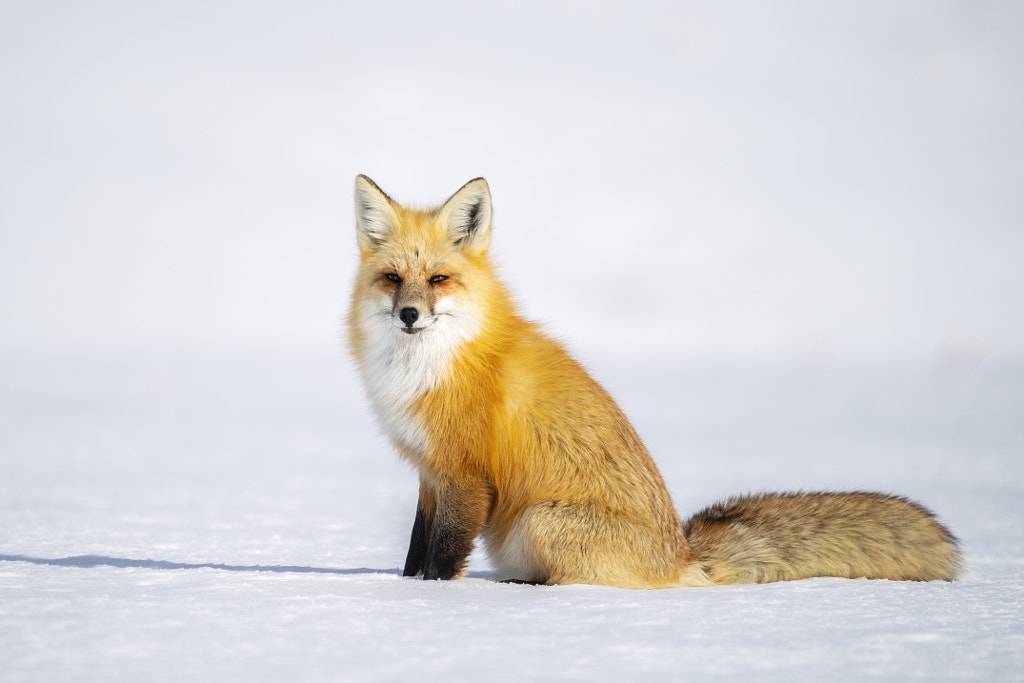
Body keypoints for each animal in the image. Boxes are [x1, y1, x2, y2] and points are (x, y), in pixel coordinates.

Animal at [346, 174, 963, 589]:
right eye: (393, 279)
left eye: (438, 279)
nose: (410, 315)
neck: (428, 367)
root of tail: (682, 554)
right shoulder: (430, 472)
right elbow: (417, 546)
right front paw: (402, 590)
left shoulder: (466, 475)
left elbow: (444, 555)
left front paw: (433, 599)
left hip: (538, 519)